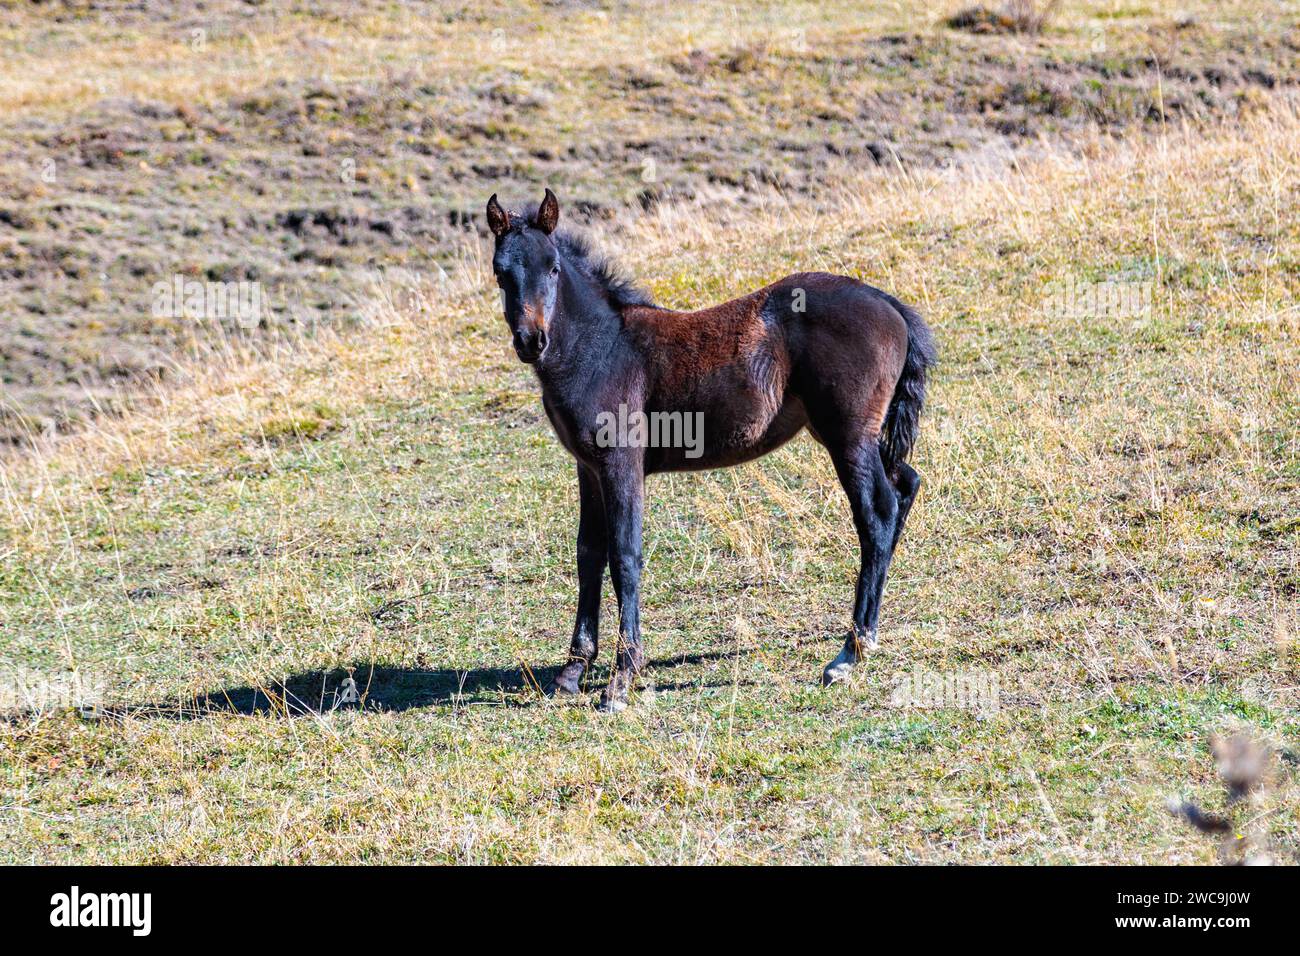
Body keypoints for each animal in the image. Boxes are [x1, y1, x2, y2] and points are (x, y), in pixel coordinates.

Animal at [487, 189, 937, 712]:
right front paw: (572, 671)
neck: (601, 348)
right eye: (501, 272)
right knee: (905, 486)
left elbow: (625, 555)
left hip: (848, 437)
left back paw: (850, 652)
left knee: (877, 514)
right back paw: (866, 636)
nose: (531, 340)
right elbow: (588, 554)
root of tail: (889, 303)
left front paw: (622, 679)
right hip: (857, 436)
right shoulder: (589, 468)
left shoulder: (621, 463)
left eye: (554, 267)